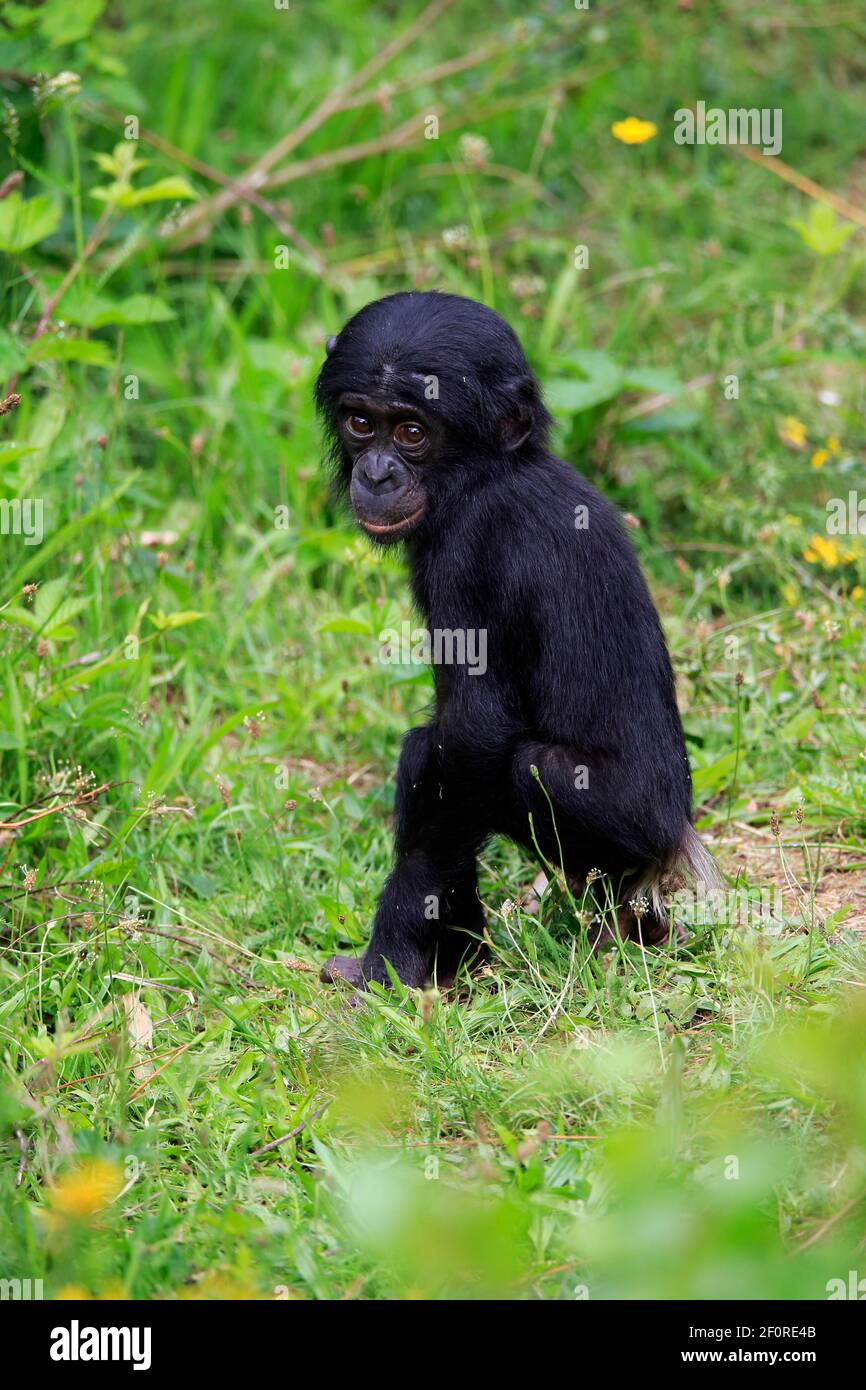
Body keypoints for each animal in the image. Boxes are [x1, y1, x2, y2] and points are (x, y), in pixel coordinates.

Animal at [314, 290, 719, 990]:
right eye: (361, 422)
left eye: (413, 432)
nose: (379, 472)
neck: (485, 476)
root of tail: (678, 843)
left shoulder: (466, 555)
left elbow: (474, 731)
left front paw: (393, 962)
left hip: (628, 823)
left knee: (525, 767)